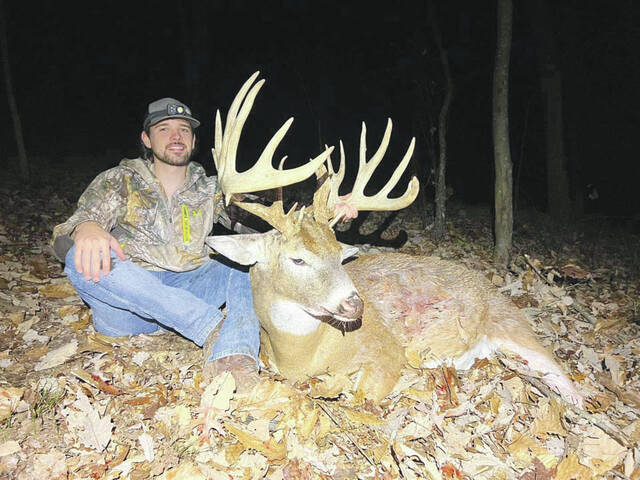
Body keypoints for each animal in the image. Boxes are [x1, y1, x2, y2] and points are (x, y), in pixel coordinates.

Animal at [206, 72, 583, 407]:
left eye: (339, 255)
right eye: (297, 258)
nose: (355, 305)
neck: (301, 354)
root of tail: (492, 286)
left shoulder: (386, 352)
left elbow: (363, 394)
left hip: (512, 325)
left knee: (561, 373)